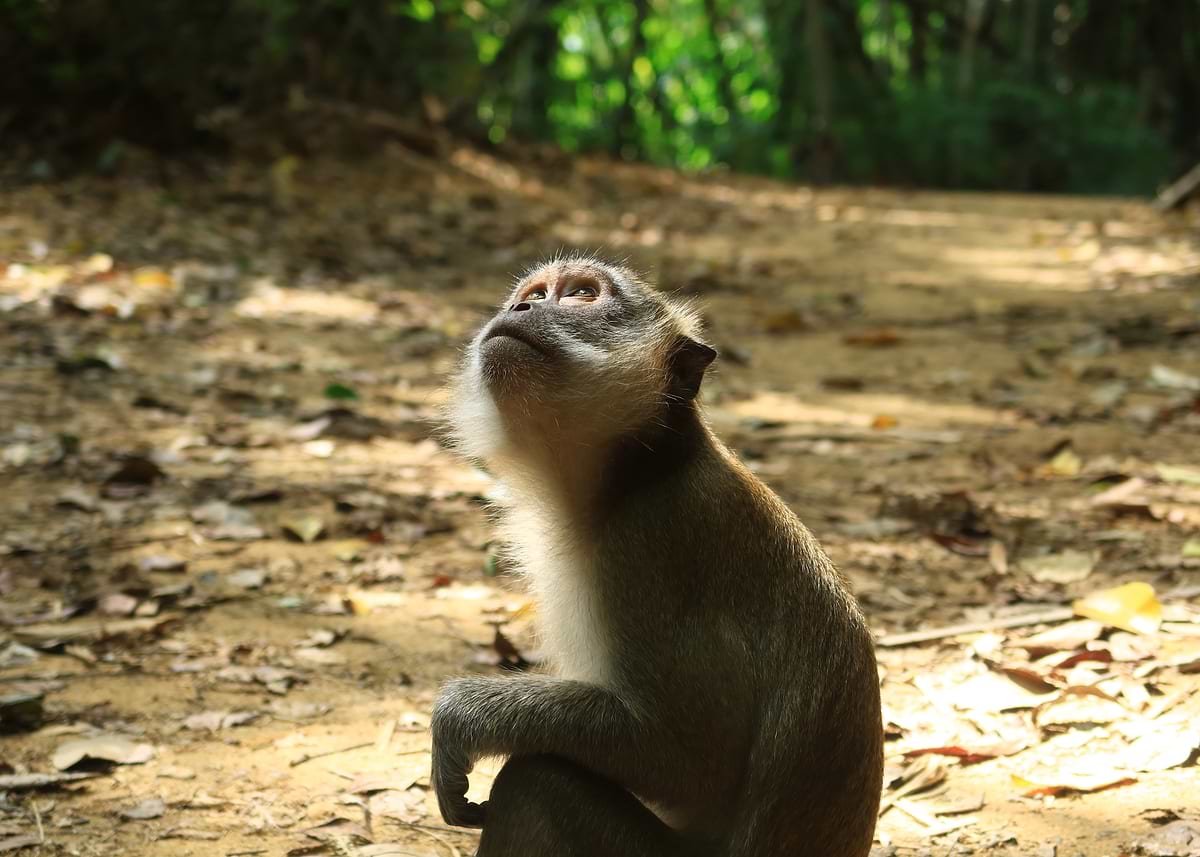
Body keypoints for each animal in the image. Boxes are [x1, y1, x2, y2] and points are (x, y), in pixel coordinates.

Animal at [433, 254, 882, 857]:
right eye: (533, 294)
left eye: (580, 294)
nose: (523, 307)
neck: (636, 472)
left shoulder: (653, 546)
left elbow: (687, 758)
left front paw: (464, 715)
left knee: (538, 784)